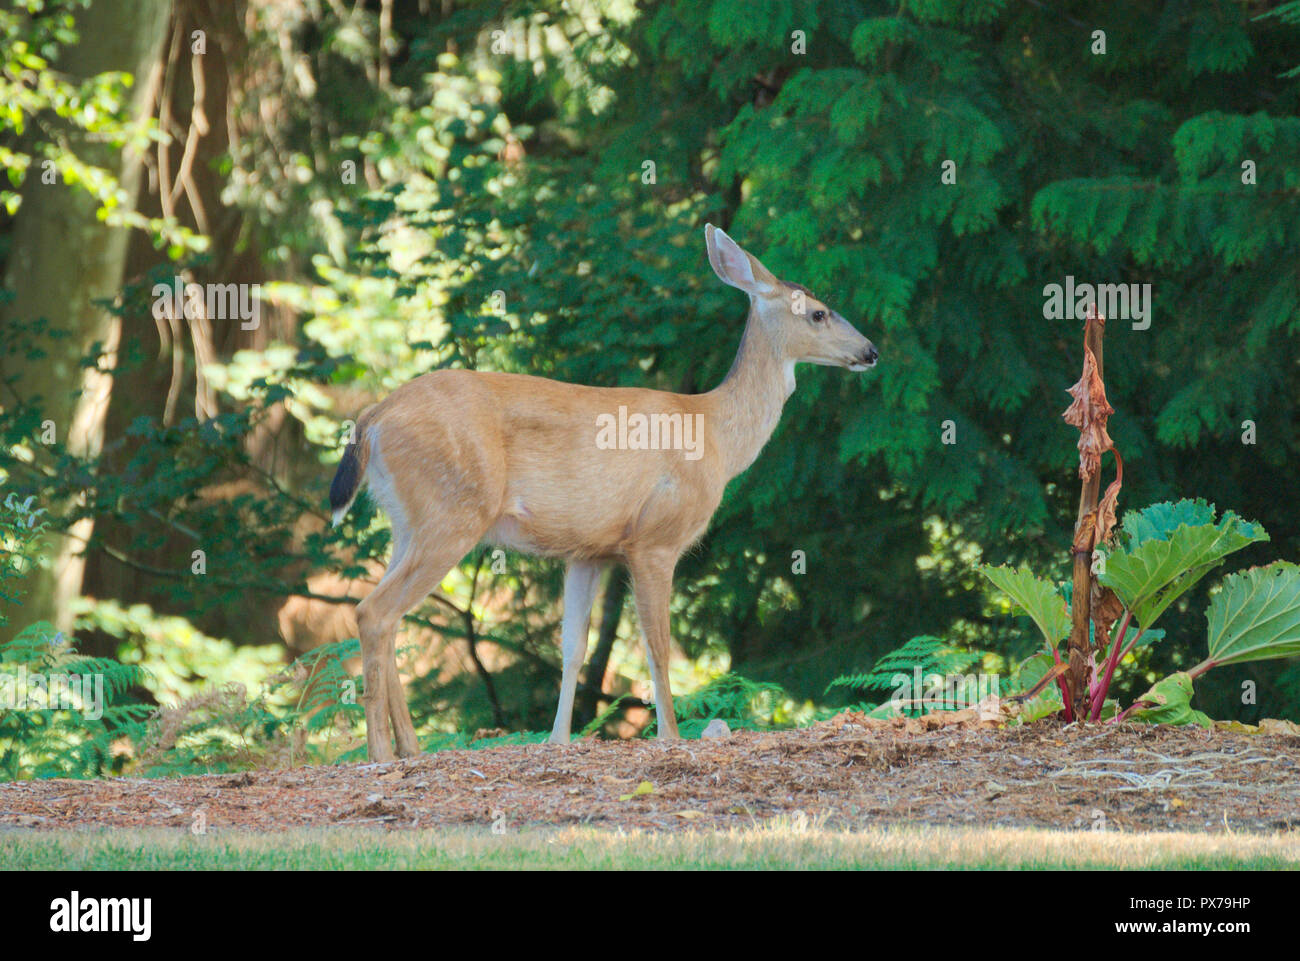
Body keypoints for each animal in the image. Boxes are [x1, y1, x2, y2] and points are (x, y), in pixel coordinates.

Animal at [329, 224, 879, 761]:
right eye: (818, 313)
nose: (870, 352)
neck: (715, 434)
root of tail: (373, 418)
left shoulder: (588, 550)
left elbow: (574, 647)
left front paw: (557, 739)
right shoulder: (654, 538)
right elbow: (657, 644)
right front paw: (669, 735)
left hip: (406, 520)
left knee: (389, 615)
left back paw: (411, 747)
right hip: (452, 511)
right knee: (374, 612)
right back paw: (381, 754)